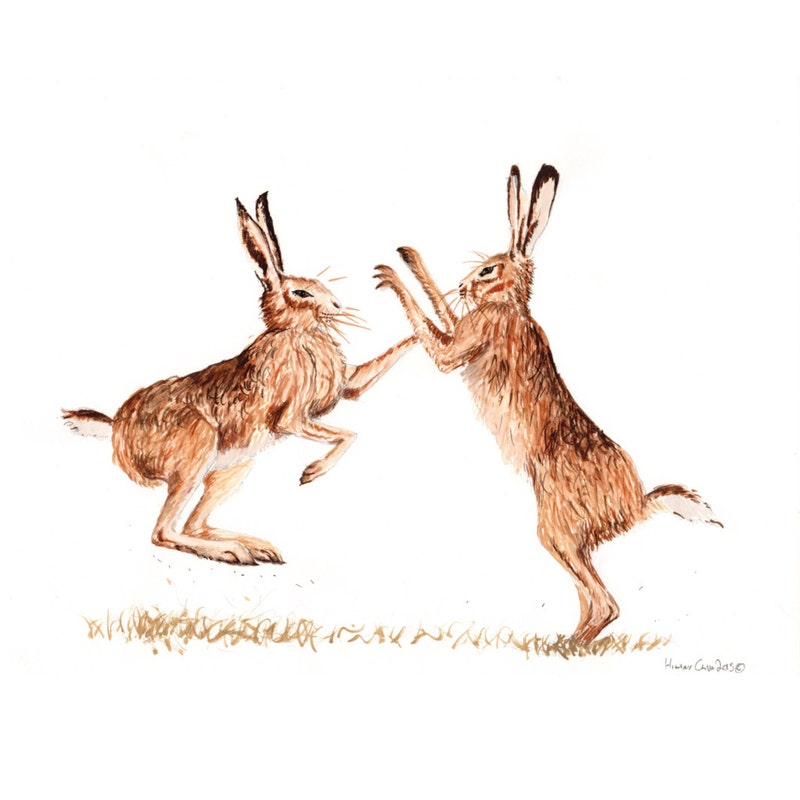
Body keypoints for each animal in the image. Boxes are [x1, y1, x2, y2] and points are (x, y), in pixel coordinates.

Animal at [64, 191, 415, 566]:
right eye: (301, 293)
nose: (337, 305)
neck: (295, 333)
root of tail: (118, 430)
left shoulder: (347, 385)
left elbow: (377, 370)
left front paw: (425, 332)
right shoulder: (292, 418)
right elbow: (347, 434)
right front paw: (312, 472)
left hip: (231, 469)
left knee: (193, 524)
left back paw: (257, 547)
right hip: (196, 451)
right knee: (164, 531)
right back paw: (233, 552)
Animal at [374, 164, 721, 644]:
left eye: (489, 270)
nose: (465, 284)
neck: (510, 306)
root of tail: (634, 507)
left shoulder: (461, 343)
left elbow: (433, 331)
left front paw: (391, 272)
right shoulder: (462, 331)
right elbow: (441, 311)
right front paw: (409, 259)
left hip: (555, 530)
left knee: (608, 603)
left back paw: (570, 646)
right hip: (568, 539)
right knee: (592, 599)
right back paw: (569, 639)